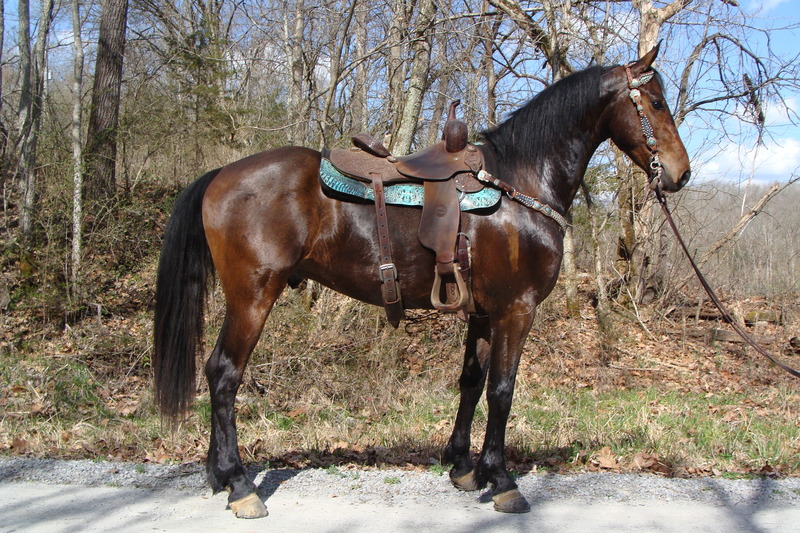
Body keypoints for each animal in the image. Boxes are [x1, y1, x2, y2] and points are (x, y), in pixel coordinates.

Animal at [153, 45, 690, 518]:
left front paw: (464, 466)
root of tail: (222, 173)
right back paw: (240, 484)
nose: (681, 174)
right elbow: (503, 390)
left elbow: (472, 382)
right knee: (224, 375)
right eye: (656, 103)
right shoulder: (516, 308)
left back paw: (220, 475)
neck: (521, 184)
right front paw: (502, 480)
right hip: (253, 296)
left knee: (215, 371)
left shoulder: (483, 312)